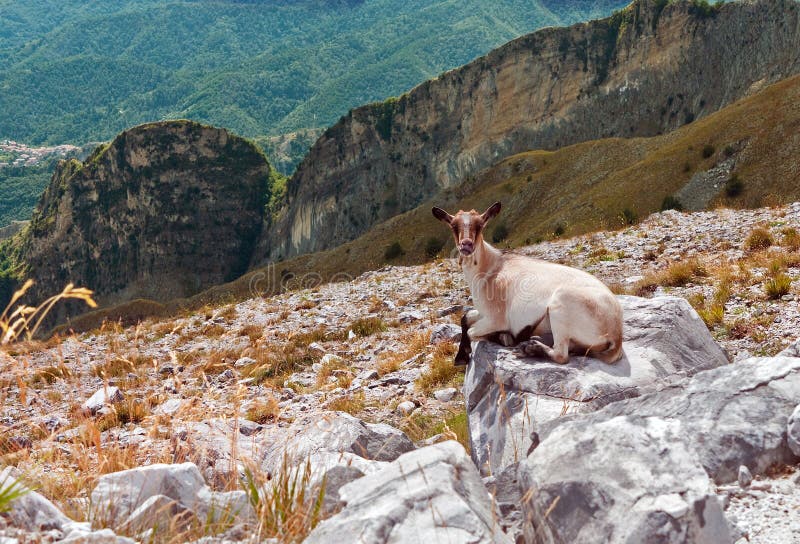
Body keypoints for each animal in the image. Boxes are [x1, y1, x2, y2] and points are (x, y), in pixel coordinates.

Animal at [432, 202, 623, 366]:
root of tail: (616, 334)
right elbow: (465, 318)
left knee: (561, 355)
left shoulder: (496, 318)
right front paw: (460, 357)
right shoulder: (483, 312)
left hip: (561, 306)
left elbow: (473, 332)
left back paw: (528, 347)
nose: (466, 245)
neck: (491, 267)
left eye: (480, 225)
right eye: (453, 226)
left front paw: (505, 338)